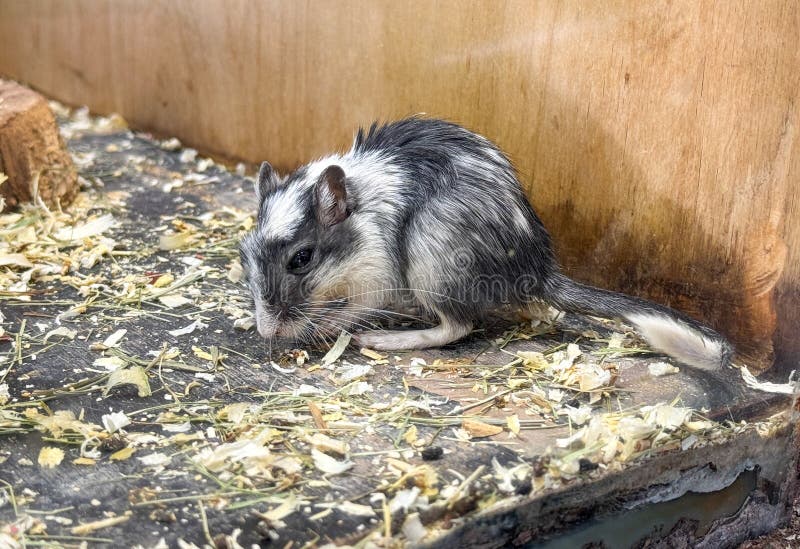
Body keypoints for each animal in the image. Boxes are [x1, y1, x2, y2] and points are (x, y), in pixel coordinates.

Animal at [239, 117, 732, 371]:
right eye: (245, 258)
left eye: (302, 259)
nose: (265, 332)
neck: (362, 219)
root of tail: (537, 271)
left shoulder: (376, 279)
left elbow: (351, 310)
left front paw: (323, 328)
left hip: (431, 261)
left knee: (457, 327)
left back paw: (386, 339)